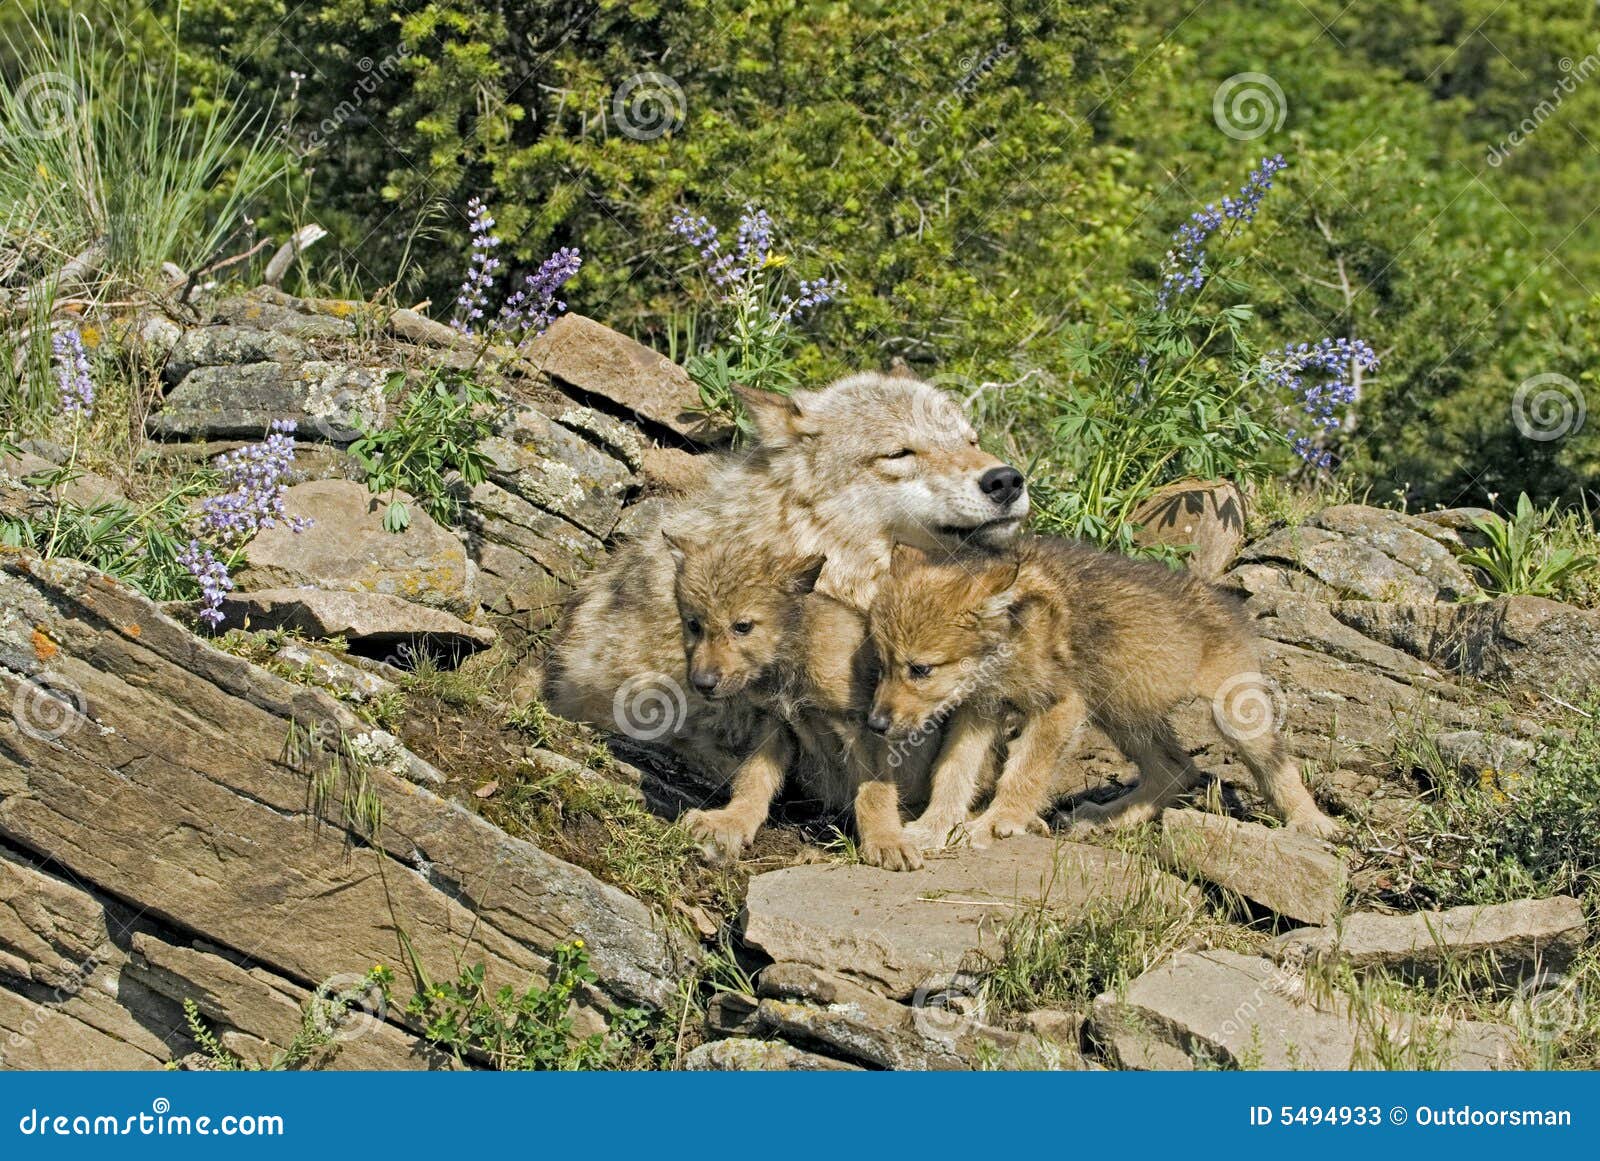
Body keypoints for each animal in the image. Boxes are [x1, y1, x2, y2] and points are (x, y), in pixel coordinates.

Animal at [661, 533, 937, 869]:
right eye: (693, 624)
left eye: (742, 626)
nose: (702, 684)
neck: (790, 659)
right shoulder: (775, 724)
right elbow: (752, 780)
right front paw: (732, 820)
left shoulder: (865, 727)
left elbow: (874, 792)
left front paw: (886, 840)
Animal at [867, 539, 1341, 847]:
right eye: (884, 665)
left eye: (920, 669)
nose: (875, 724)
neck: (1012, 637)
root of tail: (1229, 602)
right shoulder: (979, 710)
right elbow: (952, 772)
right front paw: (933, 826)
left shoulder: (1061, 707)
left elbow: (1024, 773)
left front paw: (996, 823)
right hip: (1121, 712)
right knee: (1177, 771)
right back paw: (1104, 819)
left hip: (1232, 715)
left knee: (1276, 767)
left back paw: (1313, 824)